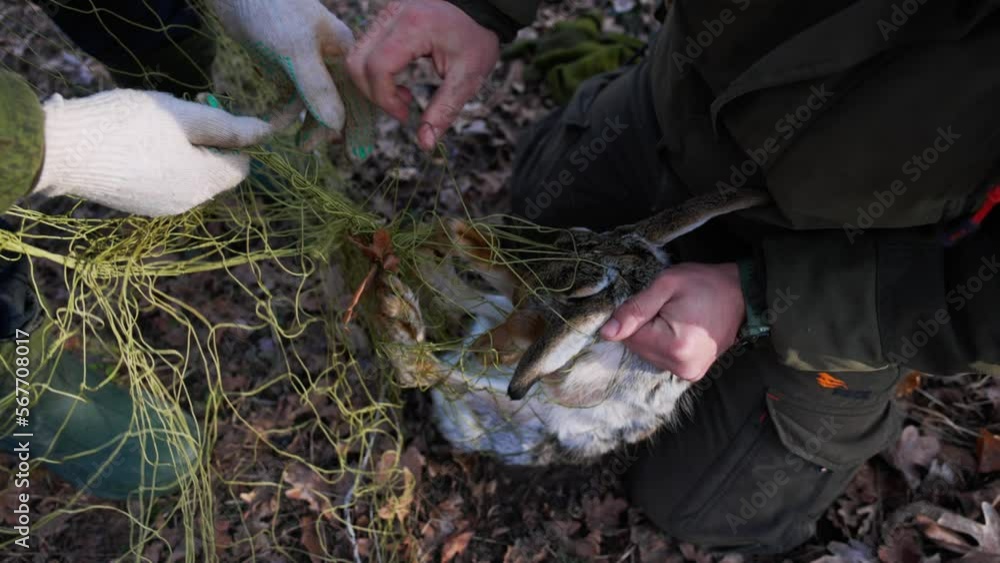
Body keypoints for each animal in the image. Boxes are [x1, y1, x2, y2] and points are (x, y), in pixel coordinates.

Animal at [376, 189, 770, 465]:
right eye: (573, 235)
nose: (487, 353)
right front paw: (448, 233)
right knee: (466, 302)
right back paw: (425, 255)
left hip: (528, 404)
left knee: (428, 367)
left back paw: (401, 314)